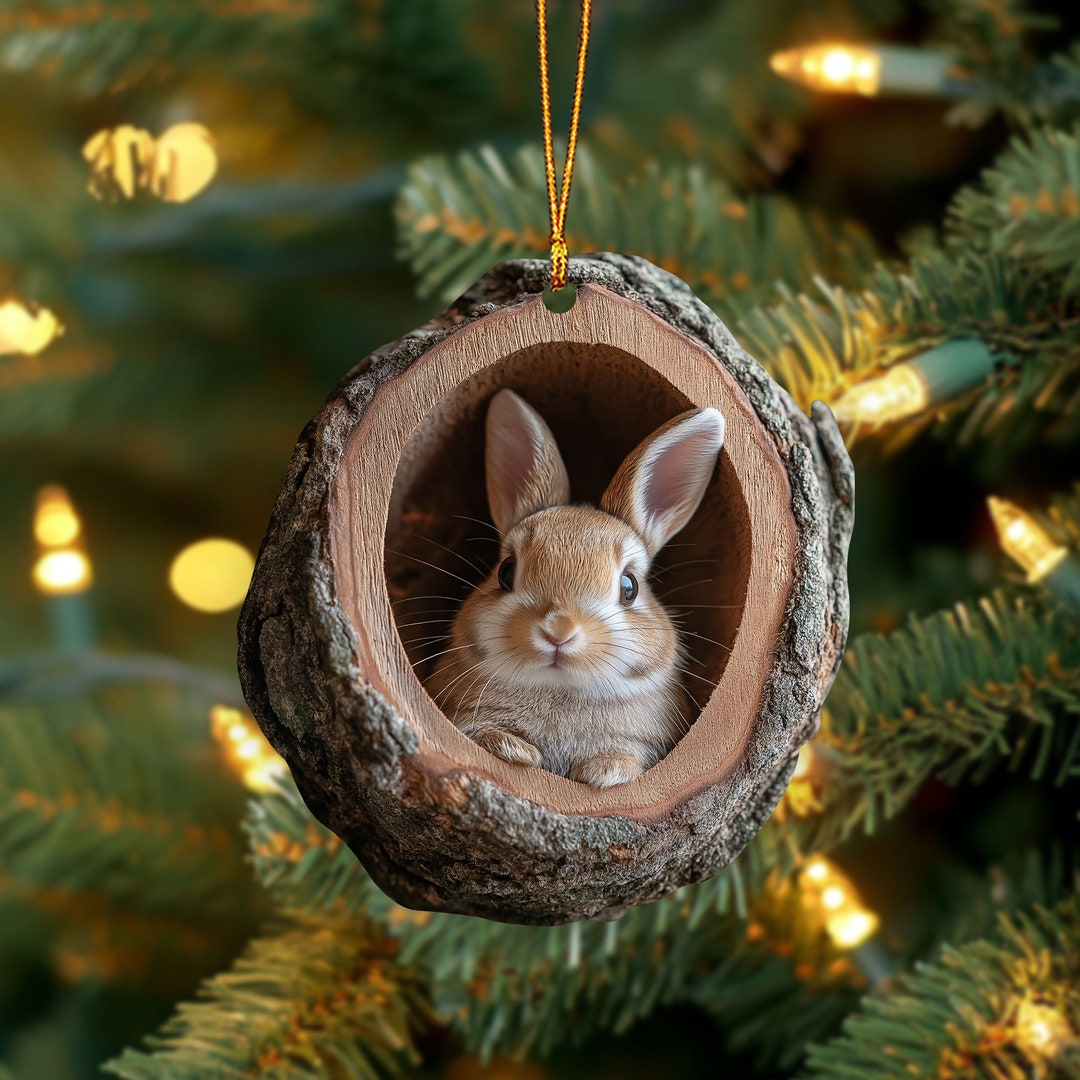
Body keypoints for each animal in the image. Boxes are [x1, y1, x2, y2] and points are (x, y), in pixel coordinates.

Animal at [427, 388, 725, 788]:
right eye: (506, 571)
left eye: (629, 587)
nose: (558, 631)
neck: (559, 688)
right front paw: (514, 749)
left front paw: (604, 770)